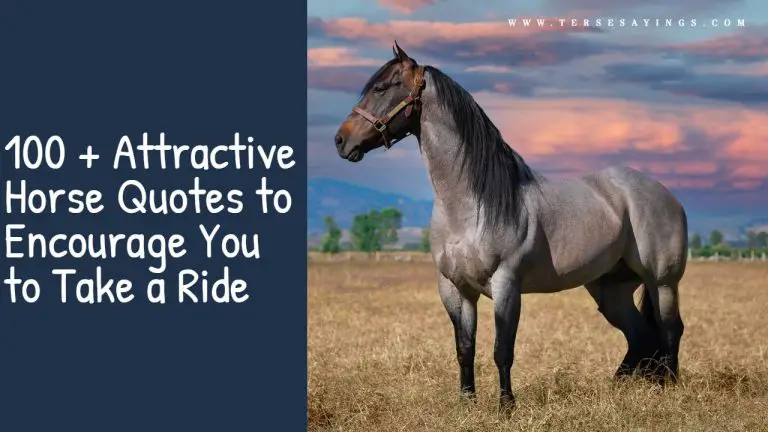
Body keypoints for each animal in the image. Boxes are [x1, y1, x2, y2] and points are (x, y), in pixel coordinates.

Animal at [332, 42, 687, 415]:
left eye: (381, 88)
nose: (341, 141)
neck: (469, 206)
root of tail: (666, 194)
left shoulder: (506, 284)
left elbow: (502, 348)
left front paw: (506, 406)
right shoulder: (455, 288)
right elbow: (465, 348)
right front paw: (466, 402)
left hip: (662, 282)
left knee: (670, 329)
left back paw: (669, 387)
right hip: (610, 289)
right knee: (639, 335)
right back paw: (619, 387)